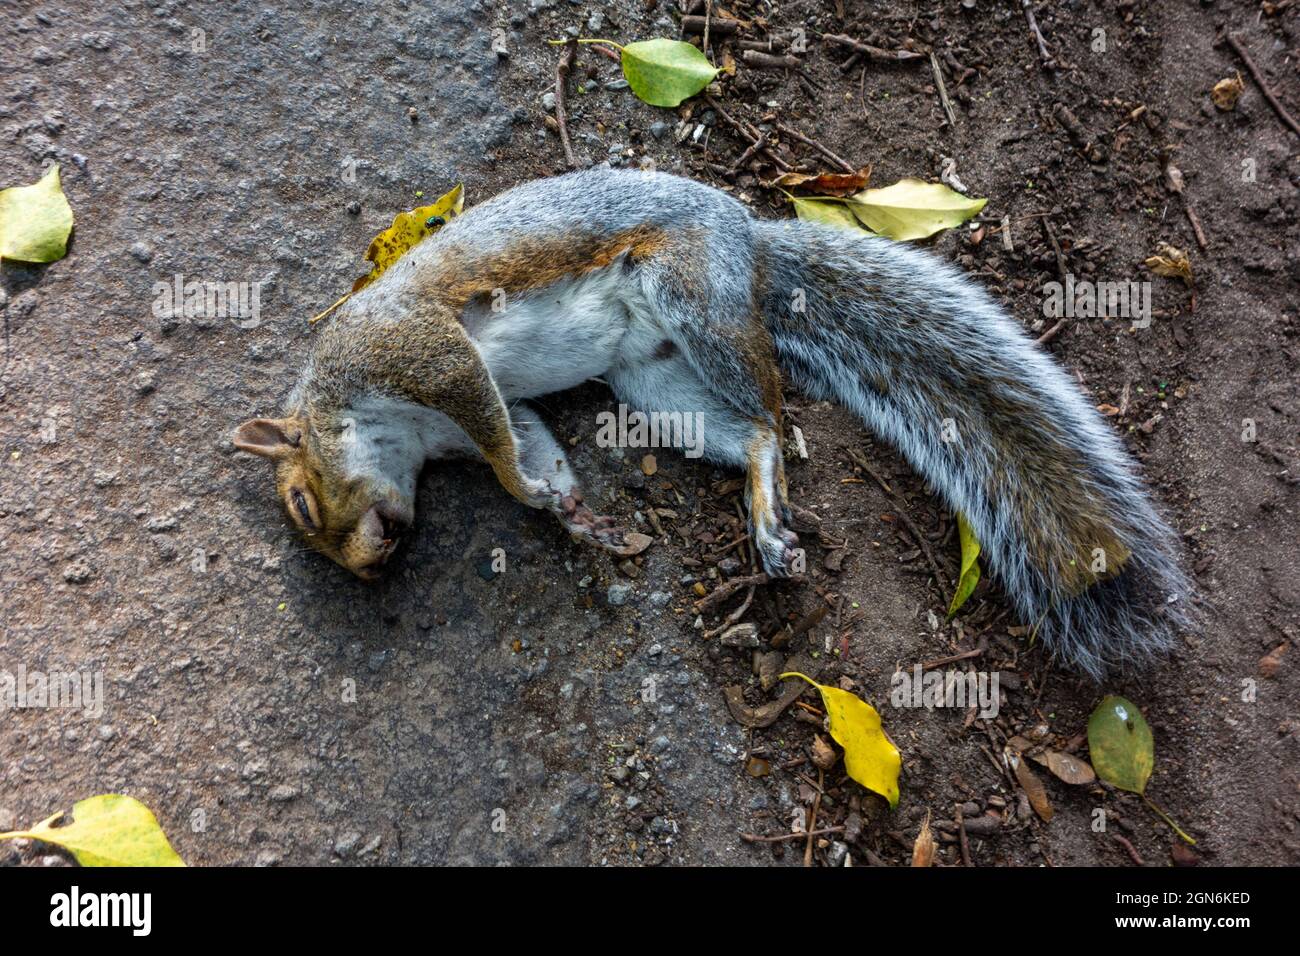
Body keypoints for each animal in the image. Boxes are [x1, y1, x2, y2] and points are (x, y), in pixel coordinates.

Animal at [234, 168, 1193, 678]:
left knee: (771, 409)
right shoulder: (488, 417)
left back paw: (775, 506)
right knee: (754, 434)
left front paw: (526, 491)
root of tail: (755, 247)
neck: (385, 425)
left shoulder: (418, 350)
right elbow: (532, 443)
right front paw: (571, 514)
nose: (374, 564)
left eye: (302, 505)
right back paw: (763, 517)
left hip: (690, 297)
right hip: (653, 381)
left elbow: (493, 427)